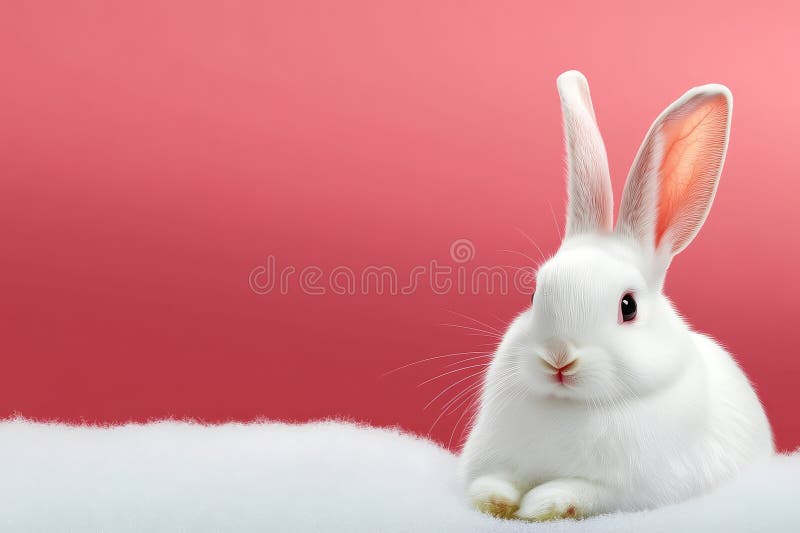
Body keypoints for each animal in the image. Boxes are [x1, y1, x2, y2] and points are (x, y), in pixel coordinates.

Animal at [458, 70, 774, 521]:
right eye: (534, 295)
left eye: (629, 306)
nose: (558, 358)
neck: (570, 406)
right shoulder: (491, 461)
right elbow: (490, 481)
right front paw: (497, 502)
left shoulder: (632, 491)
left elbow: (584, 492)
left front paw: (542, 504)